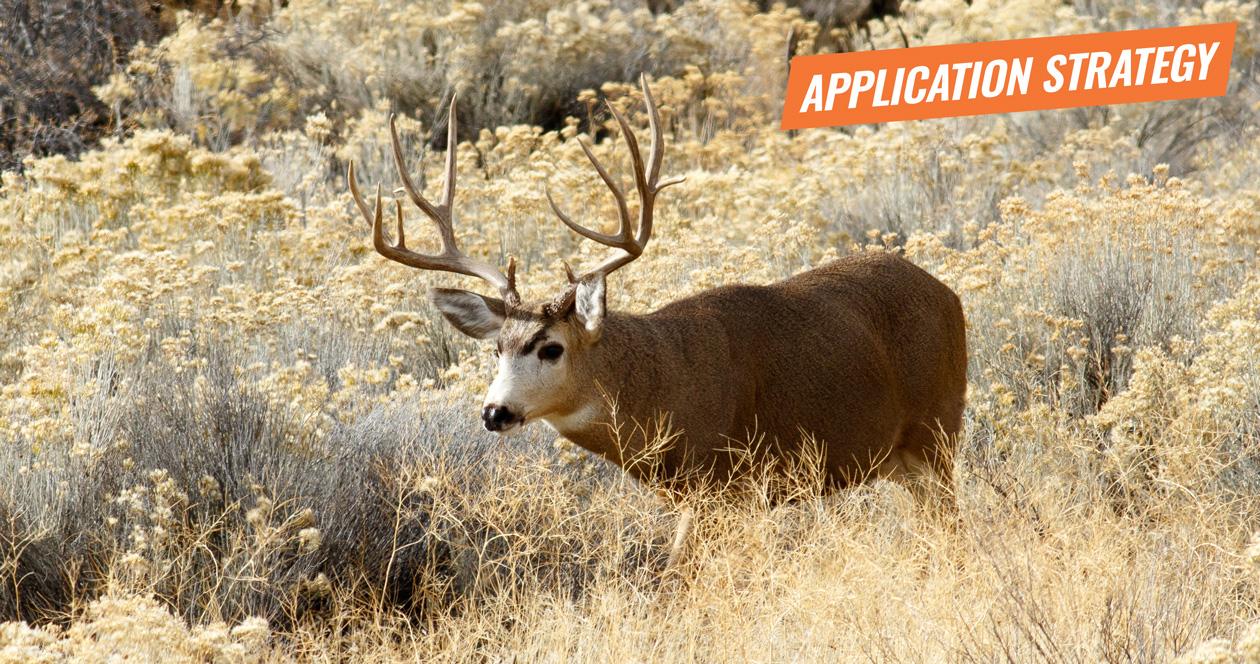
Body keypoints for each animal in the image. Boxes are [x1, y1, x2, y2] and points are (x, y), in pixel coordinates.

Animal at [348, 75, 968, 573]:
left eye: (551, 348)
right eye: (495, 348)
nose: (494, 412)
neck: (662, 383)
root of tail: (949, 294)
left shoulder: (727, 481)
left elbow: (678, 580)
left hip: (938, 432)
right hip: (898, 460)